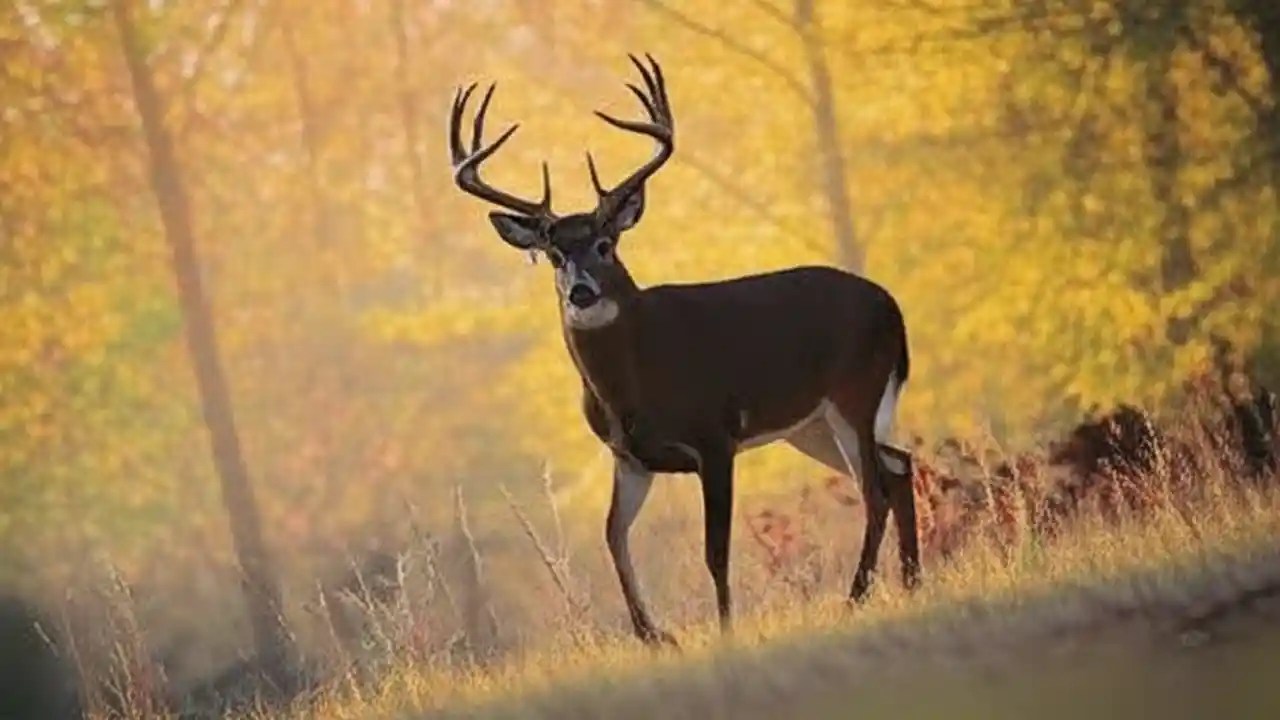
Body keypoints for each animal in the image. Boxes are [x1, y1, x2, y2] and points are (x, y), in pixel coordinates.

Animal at [447, 55, 919, 647]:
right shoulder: (629, 456)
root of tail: (892, 305)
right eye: (555, 254)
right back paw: (911, 581)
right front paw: (654, 635)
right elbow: (612, 536)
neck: (634, 385)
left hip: (855, 389)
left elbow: (715, 550)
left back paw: (855, 598)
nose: (582, 292)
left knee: (876, 489)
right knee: (898, 466)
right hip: (811, 424)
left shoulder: (715, 437)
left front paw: (724, 629)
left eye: (605, 244)